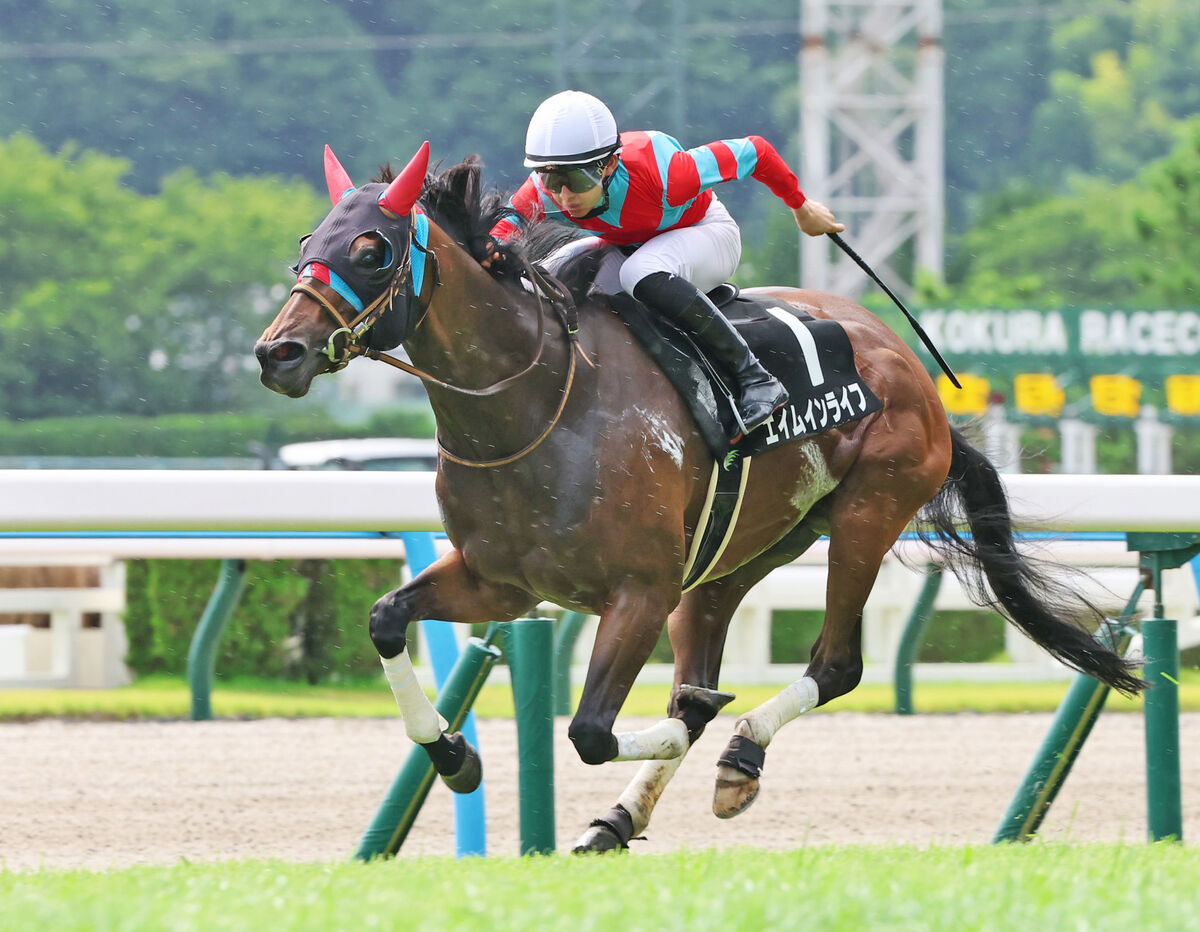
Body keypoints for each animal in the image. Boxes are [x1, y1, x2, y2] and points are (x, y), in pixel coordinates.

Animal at [254, 143, 1145, 852]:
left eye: (371, 249)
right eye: (307, 243)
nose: (279, 353)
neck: (540, 404)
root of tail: (913, 375)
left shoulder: (639, 592)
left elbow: (591, 731)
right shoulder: (498, 581)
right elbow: (386, 619)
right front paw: (454, 753)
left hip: (867, 513)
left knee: (835, 664)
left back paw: (739, 754)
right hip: (739, 553)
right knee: (717, 661)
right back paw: (623, 814)